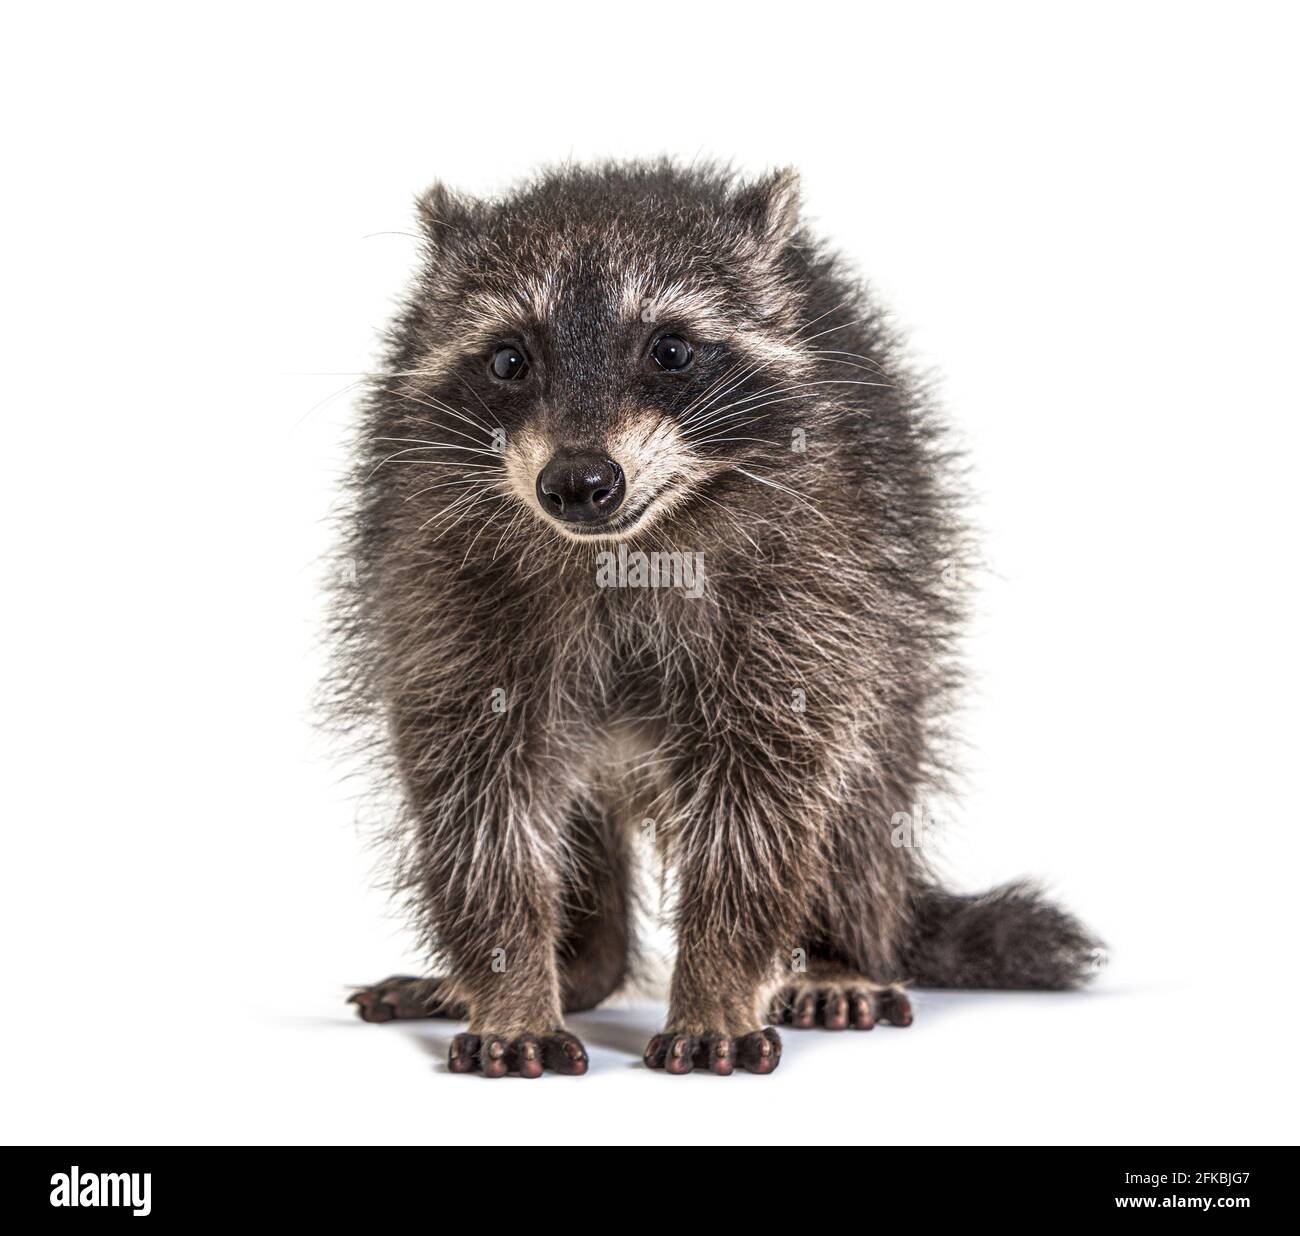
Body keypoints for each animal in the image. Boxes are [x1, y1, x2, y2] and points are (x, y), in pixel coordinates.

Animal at [334, 161, 1100, 1077]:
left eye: (671, 350)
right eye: (509, 358)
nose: (580, 481)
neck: (624, 549)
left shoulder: (812, 574)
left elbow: (766, 791)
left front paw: (719, 982)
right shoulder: (436, 577)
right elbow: (477, 794)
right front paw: (509, 987)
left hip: (898, 627)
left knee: (865, 789)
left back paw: (841, 951)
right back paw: (579, 966)